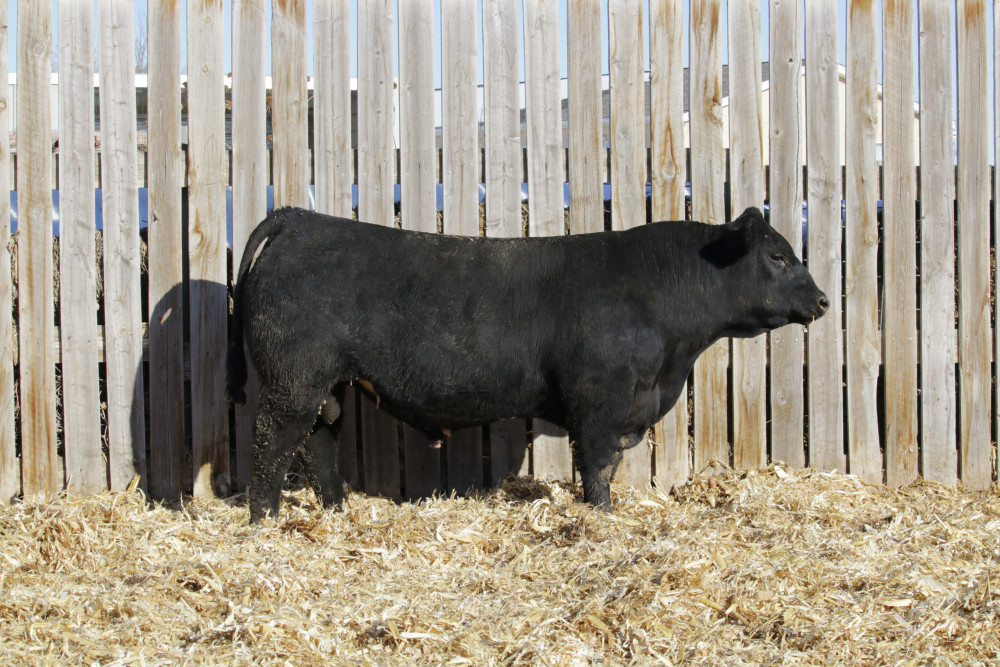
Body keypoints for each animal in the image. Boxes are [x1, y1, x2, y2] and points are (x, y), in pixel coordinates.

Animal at [227, 205, 828, 522]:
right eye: (778, 256)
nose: (823, 301)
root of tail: (299, 218)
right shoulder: (599, 405)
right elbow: (598, 470)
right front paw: (601, 520)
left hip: (327, 384)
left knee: (320, 440)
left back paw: (333, 512)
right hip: (292, 382)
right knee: (271, 442)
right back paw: (264, 520)